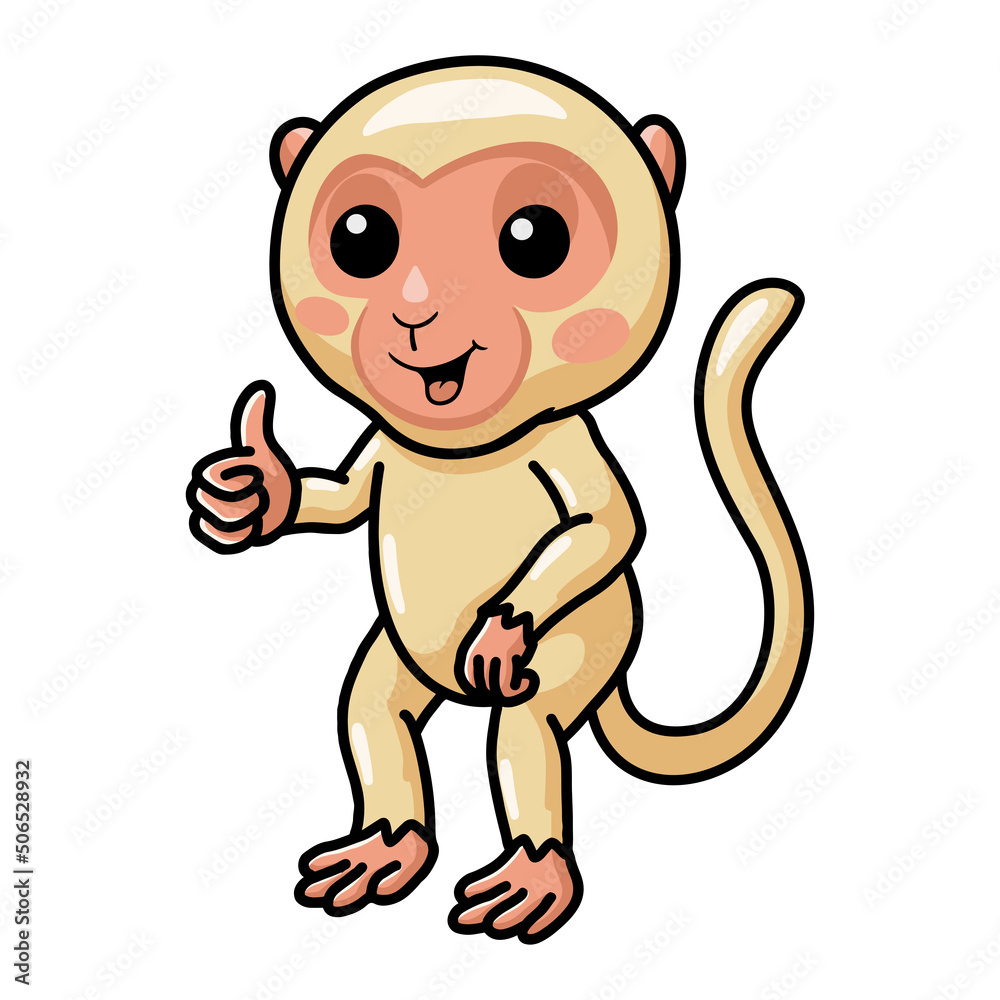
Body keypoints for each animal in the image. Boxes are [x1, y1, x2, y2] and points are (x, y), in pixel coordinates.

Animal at [186, 57, 812, 944]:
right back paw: (384, 847)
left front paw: (500, 624)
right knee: (372, 712)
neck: (464, 451)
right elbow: (344, 501)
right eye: (360, 238)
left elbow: (608, 525)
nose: (417, 312)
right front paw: (254, 492)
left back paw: (531, 873)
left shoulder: (569, 443)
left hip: (579, 651)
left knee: (525, 731)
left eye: (535, 238)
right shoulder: (385, 444)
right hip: (399, 661)